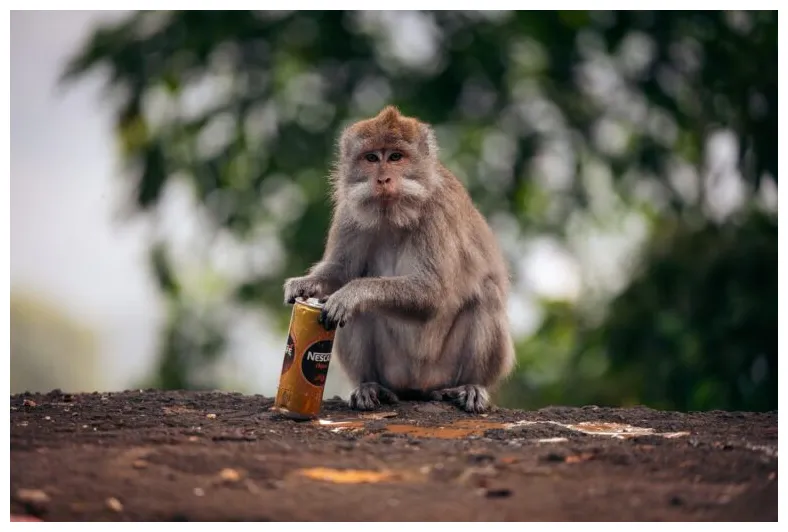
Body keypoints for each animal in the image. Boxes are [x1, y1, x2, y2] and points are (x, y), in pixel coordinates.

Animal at [283, 106, 515, 414]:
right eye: (371, 158)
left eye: (395, 157)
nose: (383, 179)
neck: (393, 212)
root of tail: (417, 387)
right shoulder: (349, 210)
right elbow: (341, 272)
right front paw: (304, 285)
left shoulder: (439, 210)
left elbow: (433, 293)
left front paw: (352, 294)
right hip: (394, 371)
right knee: (359, 314)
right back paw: (370, 386)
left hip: (441, 370)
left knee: (487, 293)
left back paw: (471, 386)